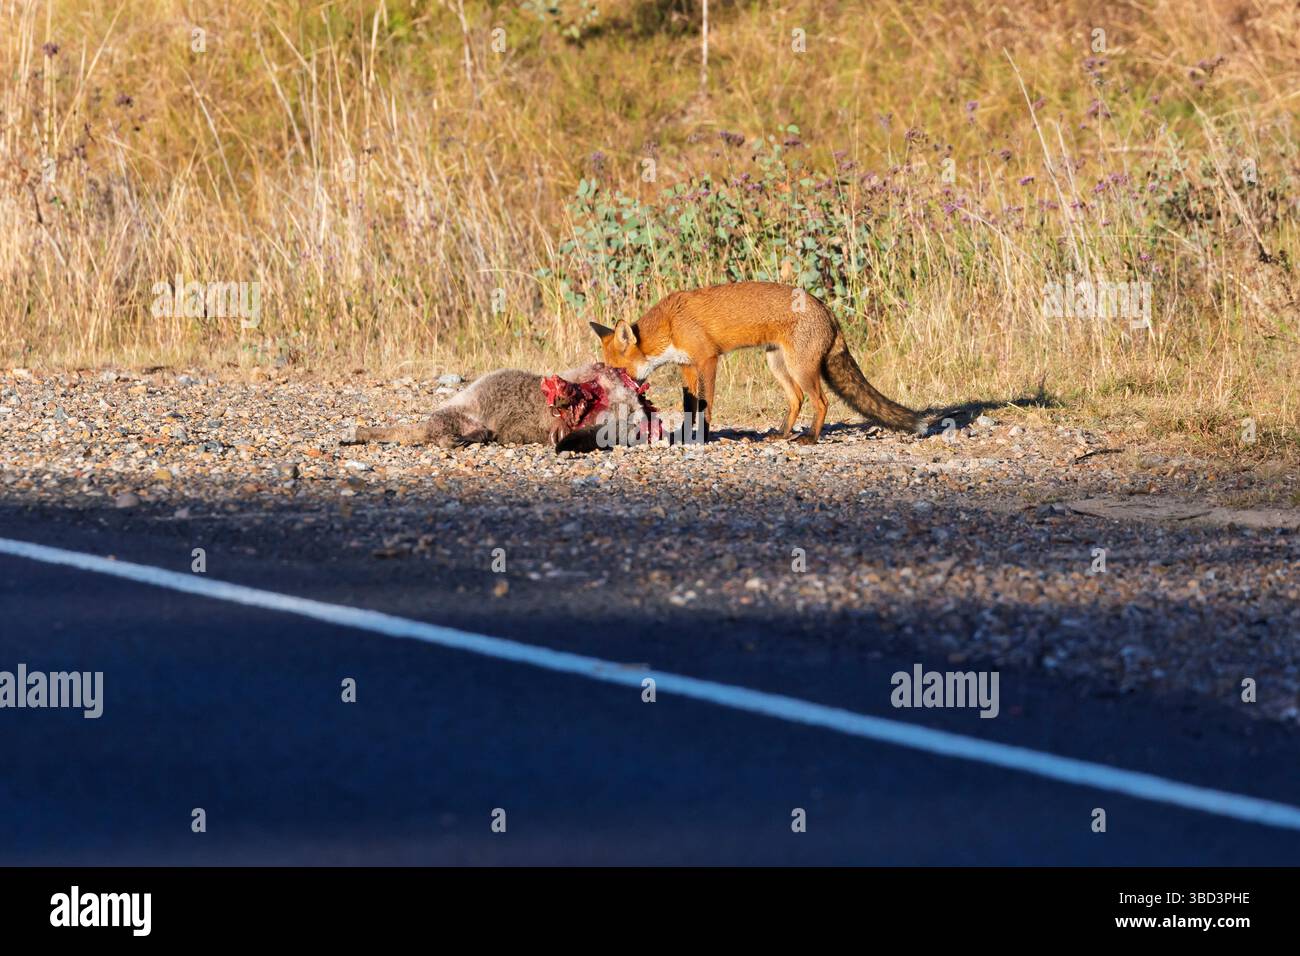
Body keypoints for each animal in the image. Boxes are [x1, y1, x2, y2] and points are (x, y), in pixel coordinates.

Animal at [590, 280, 925, 443]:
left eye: (618, 370)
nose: (609, 394)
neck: (671, 324)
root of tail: (828, 310)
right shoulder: (686, 367)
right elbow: (689, 406)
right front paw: (684, 436)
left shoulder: (708, 360)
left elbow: (706, 405)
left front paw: (704, 437)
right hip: (777, 364)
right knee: (797, 399)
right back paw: (782, 433)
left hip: (800, 368)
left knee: (821, 402)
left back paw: (810, 438)